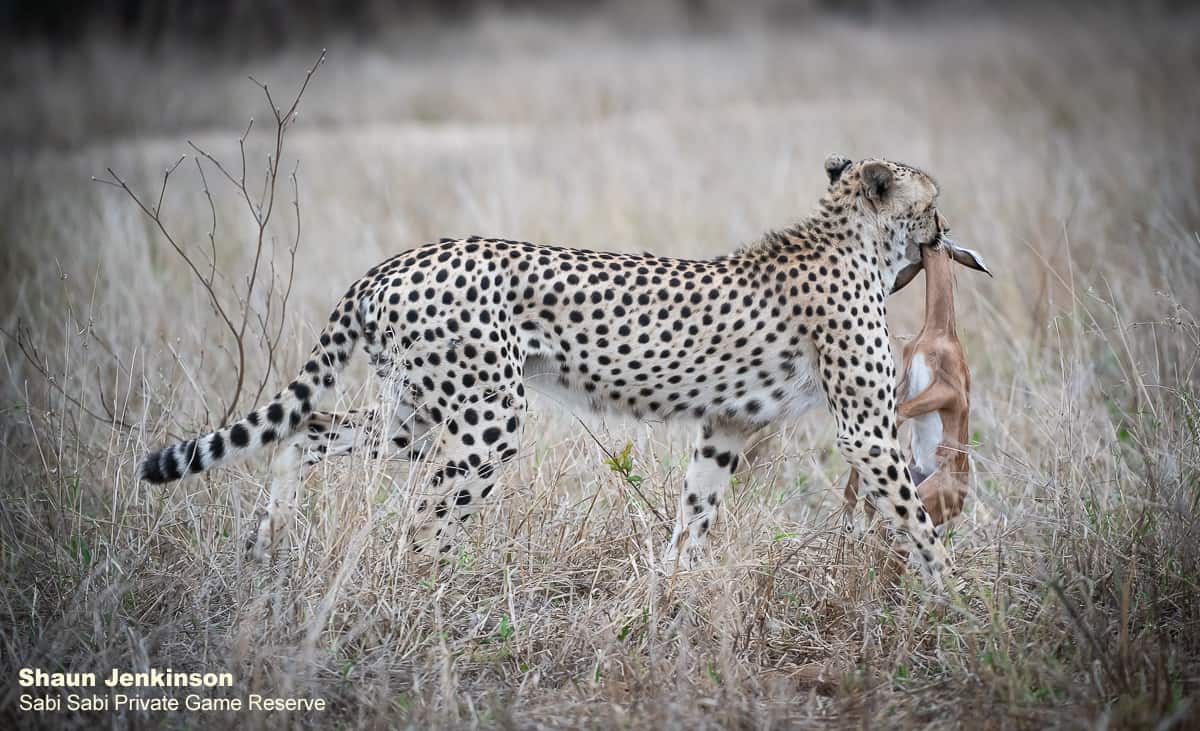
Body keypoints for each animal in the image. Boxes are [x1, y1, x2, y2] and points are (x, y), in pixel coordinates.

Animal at [138, 153, 976, 589]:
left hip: (414, 414)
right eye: (934, 200)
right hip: (486, 421)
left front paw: (668, 594)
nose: (946, 232)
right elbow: (919, 522)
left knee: (308, 430)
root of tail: (393, 261)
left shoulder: (725, 425)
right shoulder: (866, 431)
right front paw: (958, 601)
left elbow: (694, 514)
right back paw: (441, 602)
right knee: (422, 524)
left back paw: (266, 541)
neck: (850, 240)